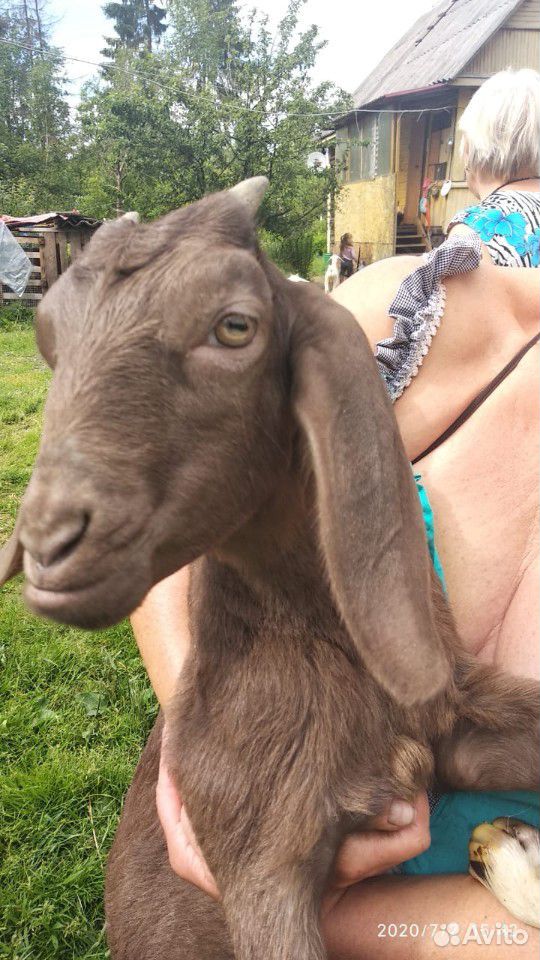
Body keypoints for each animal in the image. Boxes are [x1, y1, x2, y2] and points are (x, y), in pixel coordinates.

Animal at [1, 177, 539, 960]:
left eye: (235, 328)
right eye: (49, 335)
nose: (48, 549)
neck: (312, 630)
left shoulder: (459, 709)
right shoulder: (258, 857)